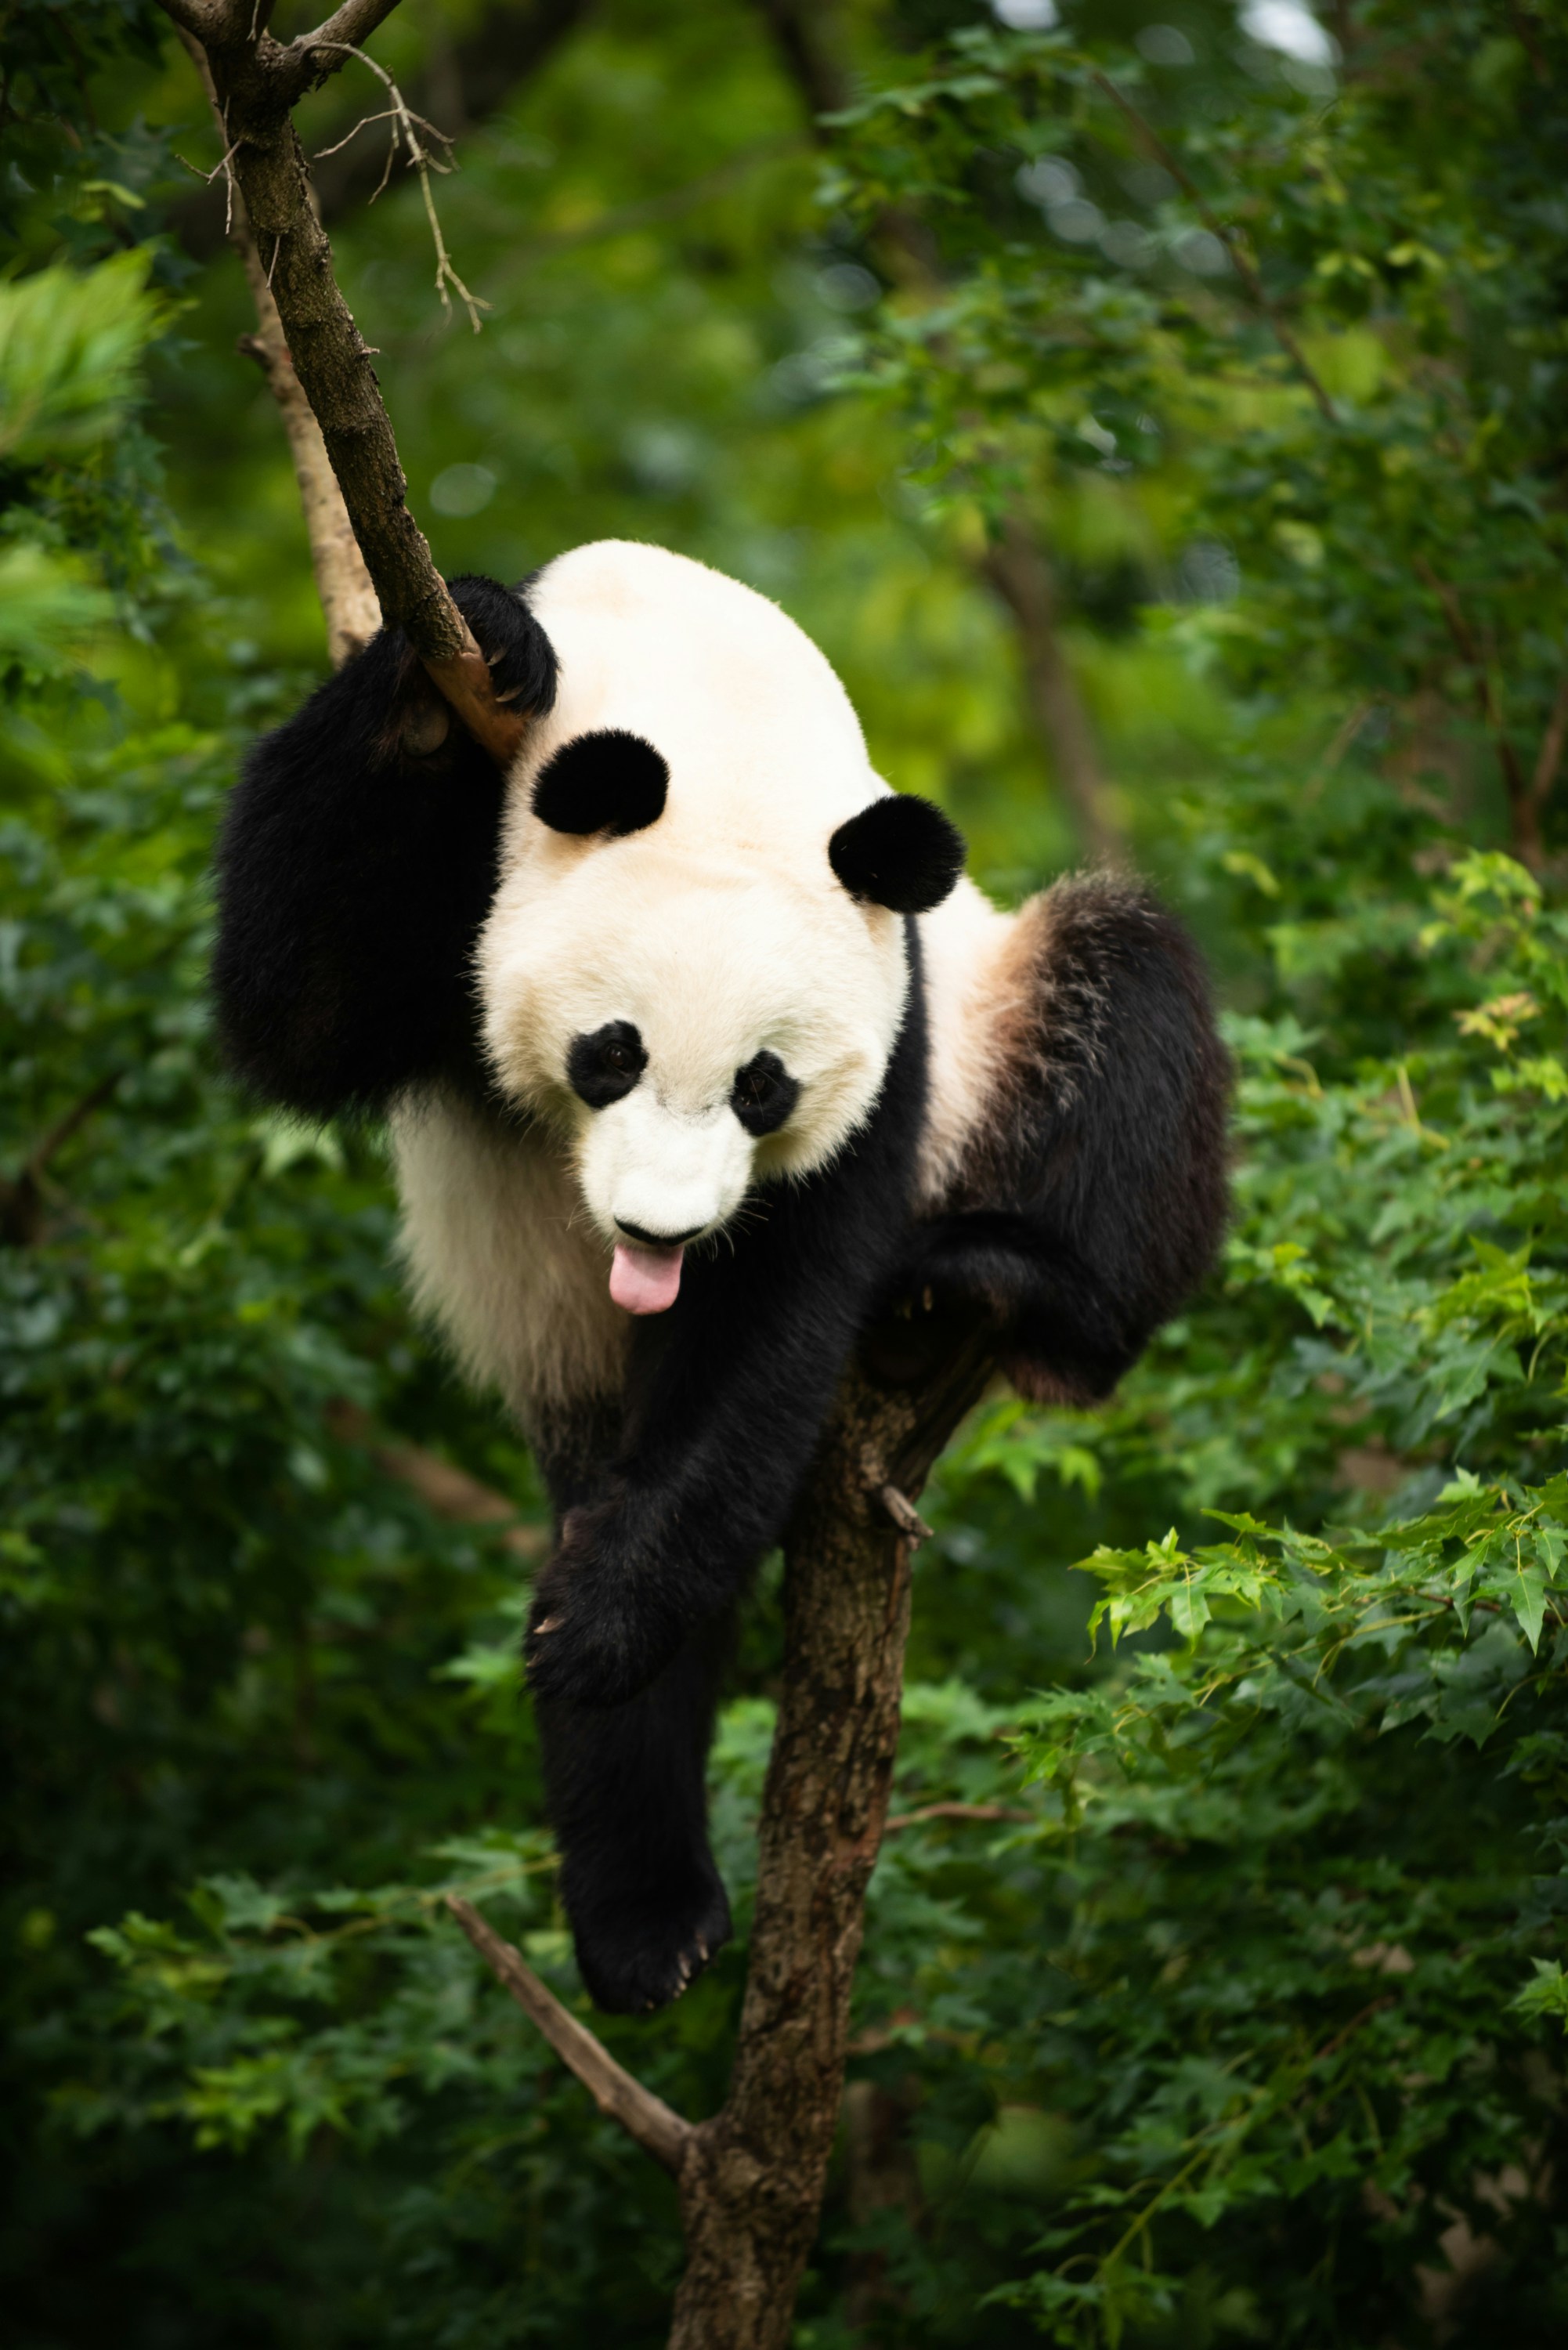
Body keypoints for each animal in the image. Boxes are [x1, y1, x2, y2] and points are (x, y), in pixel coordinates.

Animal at [213, 539, 1228, 2015]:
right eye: (609, 1053)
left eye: (764, 1088)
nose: (660, 1238)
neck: (720, 711)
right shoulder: (473, 868)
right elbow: (298, 1003)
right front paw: (468, 650)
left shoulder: (898, 1019)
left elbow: (770, 1322)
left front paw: (598, 1625)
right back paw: (648, 1921)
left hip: (1007, 1032)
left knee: (1127, 993)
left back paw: (1001, 1294)